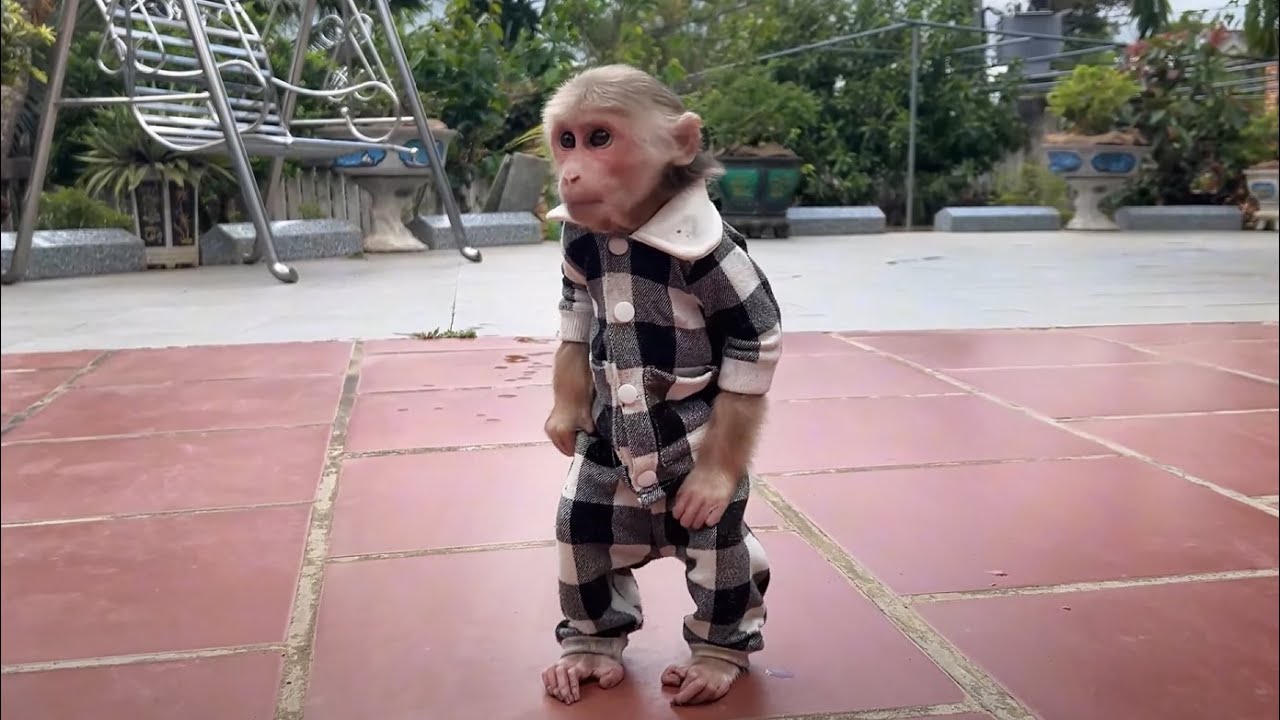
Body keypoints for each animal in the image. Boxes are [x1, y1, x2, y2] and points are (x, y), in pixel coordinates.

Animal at [538, 64, 783, 708]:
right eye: (566, 140)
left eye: (600, 139)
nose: (570, 172)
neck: (632, 233)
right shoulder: (576, 251)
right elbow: (576, 318)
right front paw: (564, 419)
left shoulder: (722, 258)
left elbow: (752, 344)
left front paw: (711, 481)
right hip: (601, 495)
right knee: (582, 540)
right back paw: (589, 652)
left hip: (709, 526)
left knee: (725, 563)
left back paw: (715, 662)